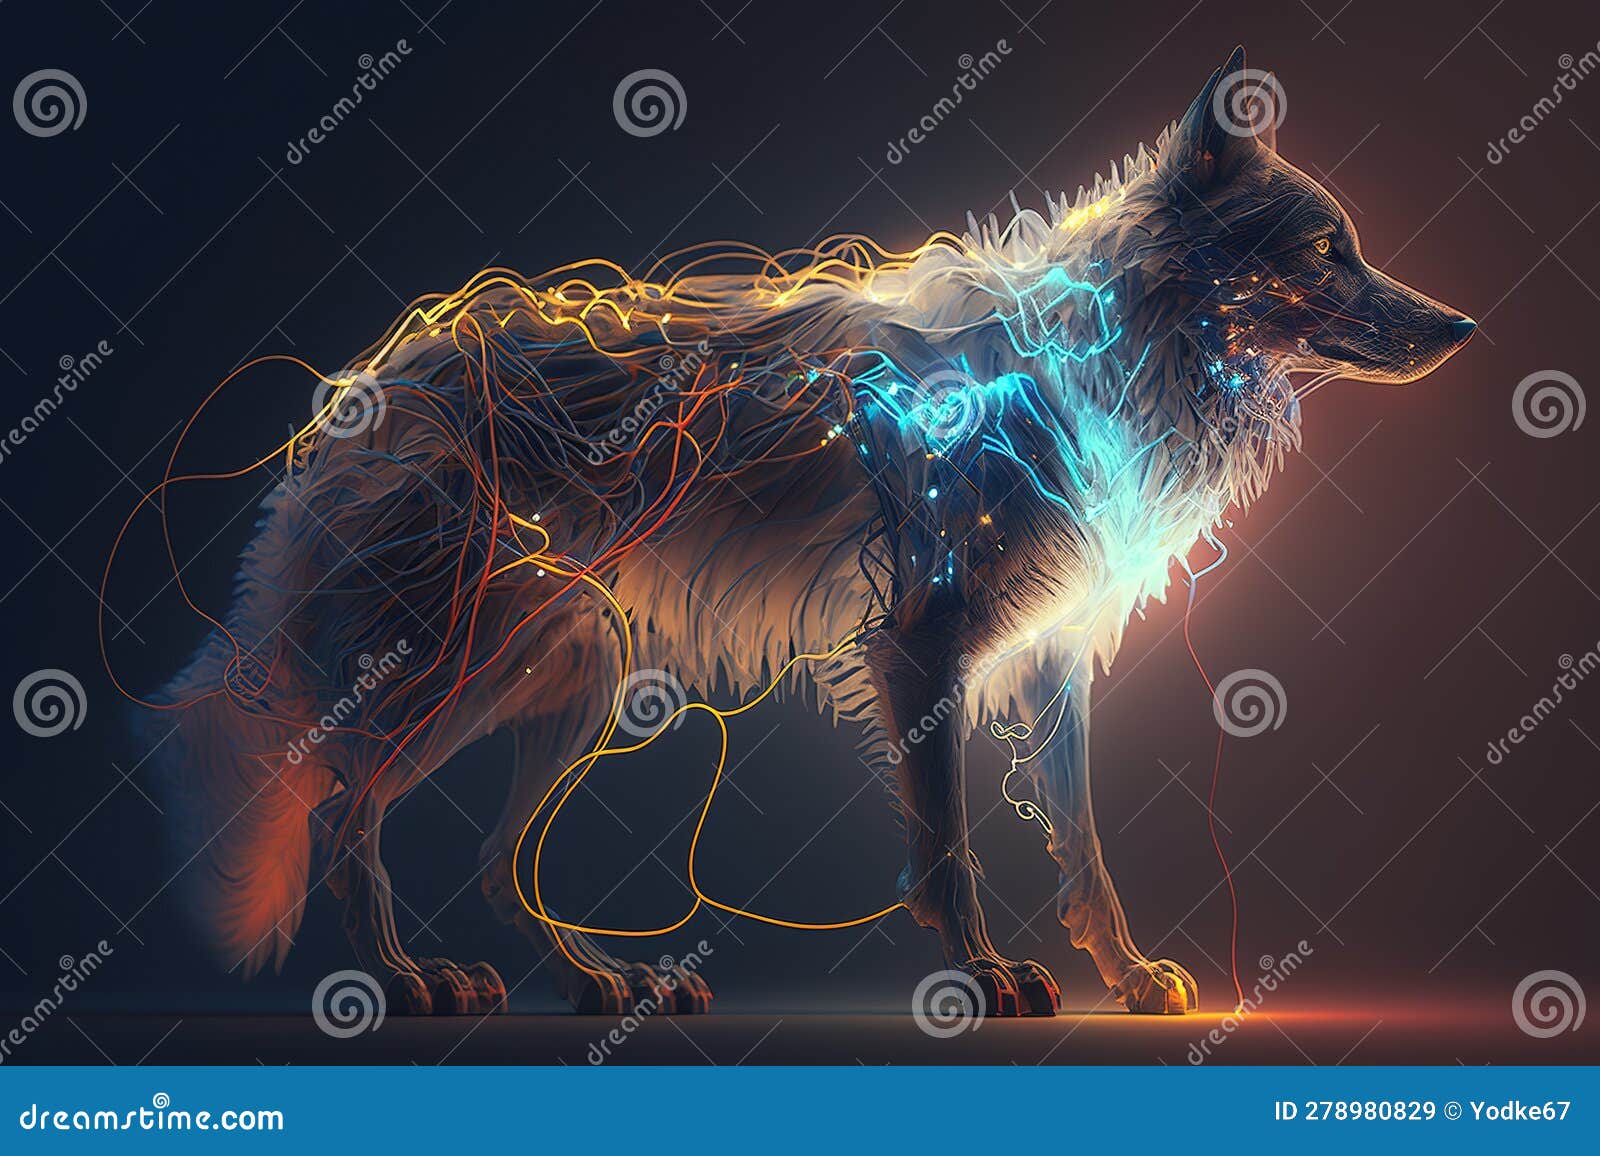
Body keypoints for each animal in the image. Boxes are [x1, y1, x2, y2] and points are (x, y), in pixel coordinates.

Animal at [147, 48, 1474, 1018]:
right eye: (1328, 252)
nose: (1460, 328)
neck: (1102, 352)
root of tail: (377, 378)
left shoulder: (1052, 658)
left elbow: (1082, 847)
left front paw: (1128, 976)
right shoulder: (921, 649)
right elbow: (948, 847)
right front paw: (984, 977)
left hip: (570, 674)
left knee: (480, 855)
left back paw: (600, 983)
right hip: (475, 664)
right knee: (346, 802)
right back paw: (409, 980)